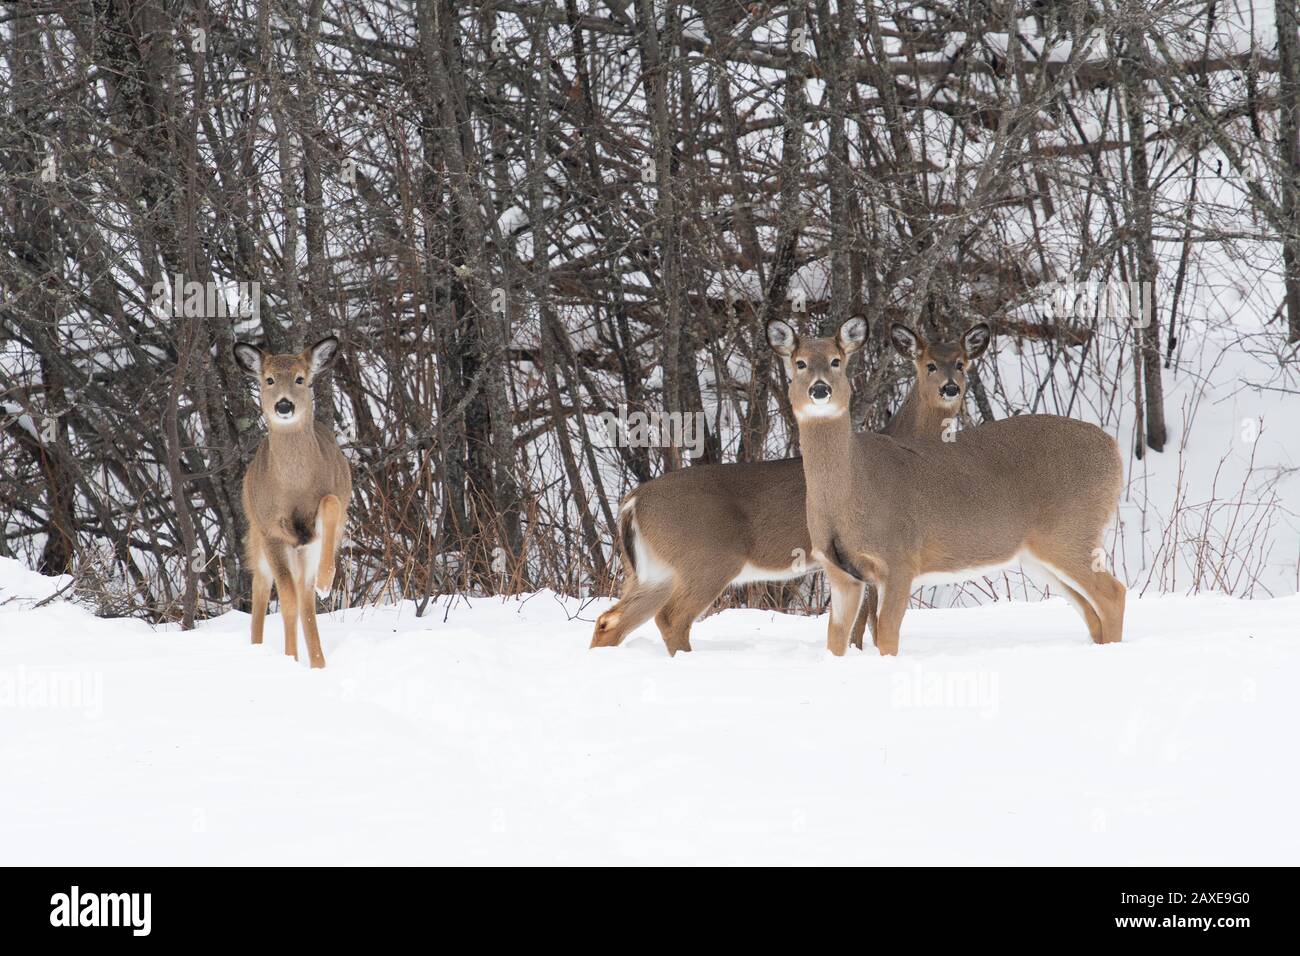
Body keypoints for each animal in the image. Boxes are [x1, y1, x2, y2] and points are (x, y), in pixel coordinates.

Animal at [233, 336, 352, 669]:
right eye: (269, 379)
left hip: (305, 550)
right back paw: (260, 648)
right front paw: (289, 658)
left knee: (305, 596)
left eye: (301, 379)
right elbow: (285, 601)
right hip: (258, 535)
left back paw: (319, 662)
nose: (284, 405)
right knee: (263, 586)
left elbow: (330, 503)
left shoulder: (332, 505)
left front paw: (327, 581)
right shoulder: (272, 531)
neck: (294, 489)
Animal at [590, 321, 993, 656]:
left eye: (961, 363)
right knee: (671, 618)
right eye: (928, 364)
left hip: (652, 571)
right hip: (707, 559)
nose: (950, 388)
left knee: (610, 620)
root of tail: (632, 502)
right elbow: (867, 624)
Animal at [766, 315, 1125, 657]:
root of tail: (1114, 449)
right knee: (1091, 611)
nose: (820, 389)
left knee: (1113, 594)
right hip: (1040, 553)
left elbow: (886, 636)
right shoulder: (841, 573)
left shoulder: (900, 558)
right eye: (799, 363)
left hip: (1071, 530)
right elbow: (836, 640)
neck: (850, 491)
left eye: (836, 361)